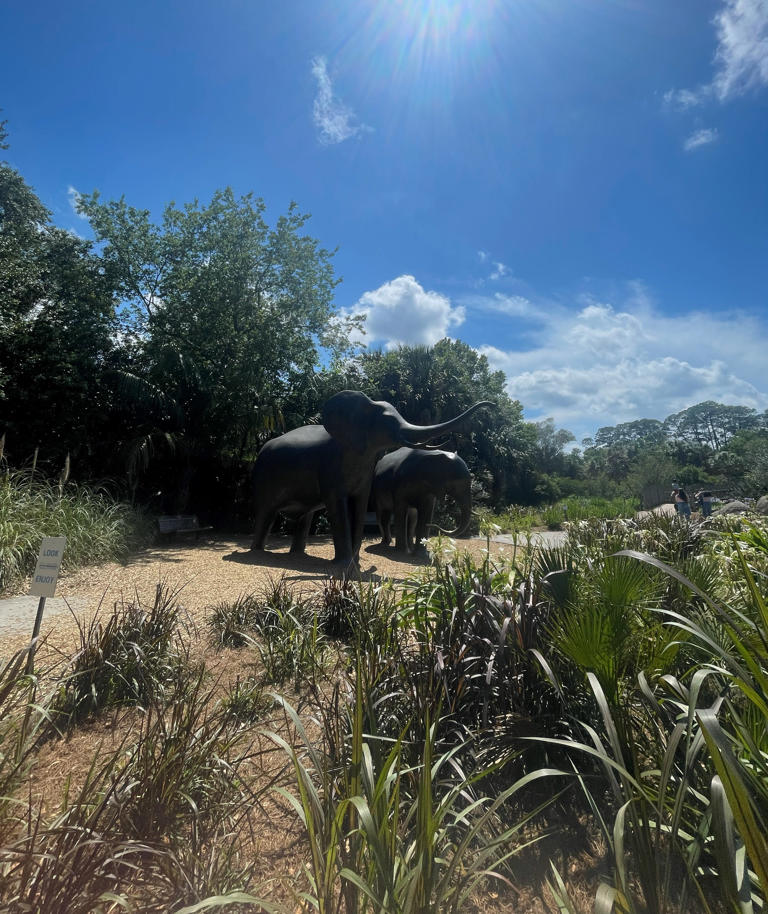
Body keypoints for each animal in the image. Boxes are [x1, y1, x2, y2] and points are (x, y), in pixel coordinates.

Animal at [250, 391, 490, 568]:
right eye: (388, 420)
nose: (491, 404)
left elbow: (361, 504)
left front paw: (355, 565)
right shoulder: (330, 466)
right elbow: (339, 505)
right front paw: (345, 566)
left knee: (304, 516)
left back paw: (297, 556)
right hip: (263, 477)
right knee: (265, 512)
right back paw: (256, 553)